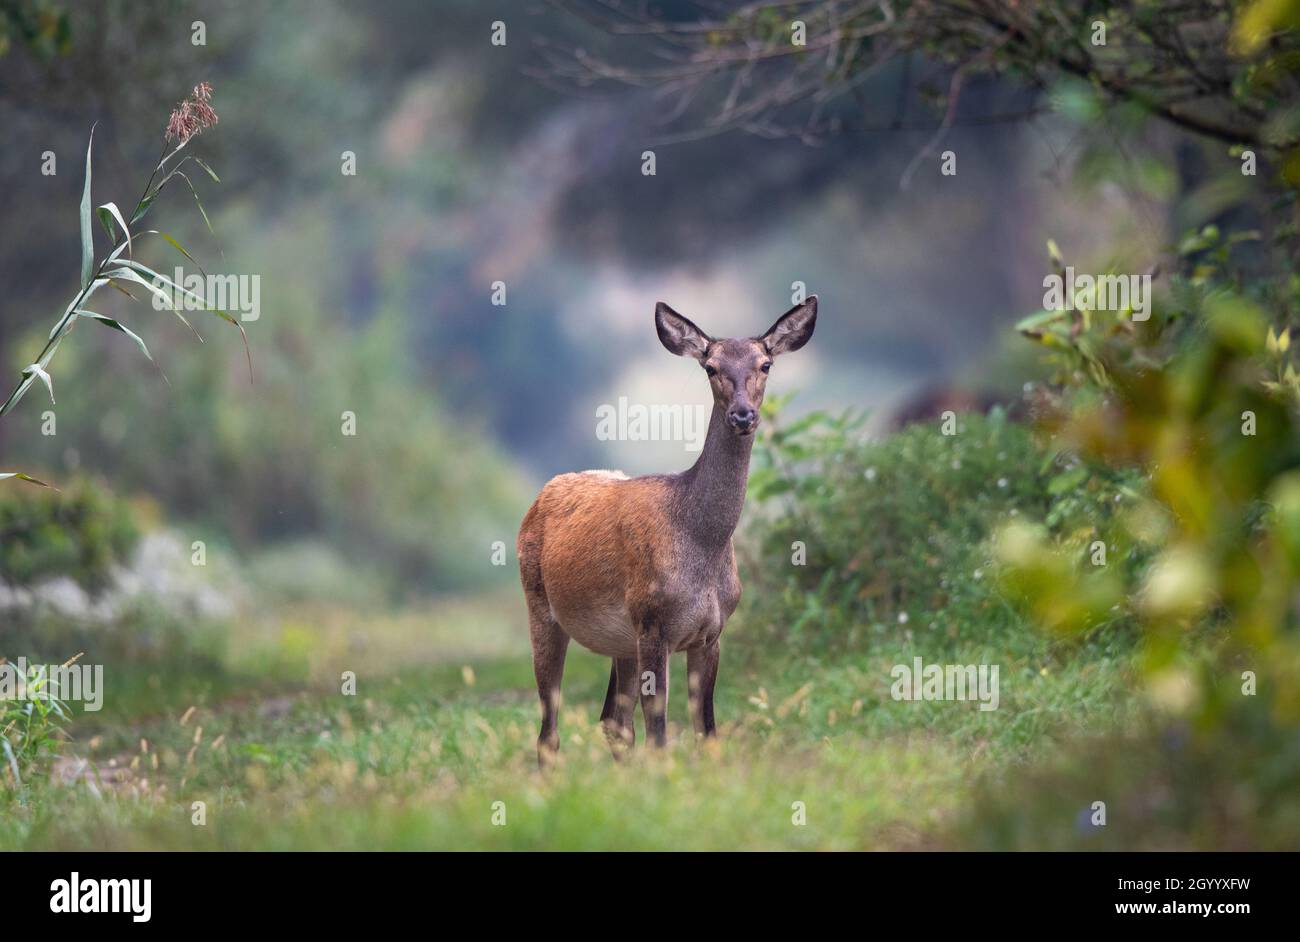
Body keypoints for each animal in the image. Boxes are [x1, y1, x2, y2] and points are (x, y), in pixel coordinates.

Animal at [516, 296, 817, 765]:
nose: (743, 415)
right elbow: (658, 731)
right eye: (710, 367)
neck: (700, 544)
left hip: (620, 640)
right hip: (541, 605)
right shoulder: (653, 622)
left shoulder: (711, 633)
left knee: (613, 721)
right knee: (550, 729)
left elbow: (706, 730)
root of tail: (542, 495)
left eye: (766, 363)